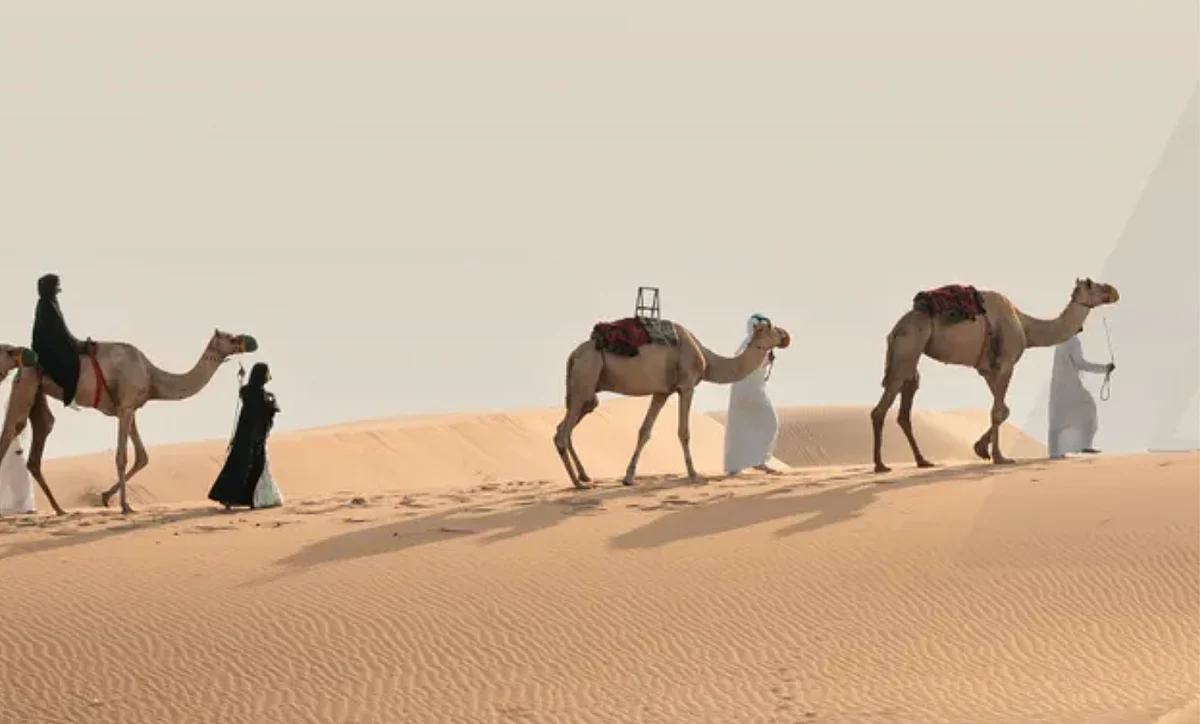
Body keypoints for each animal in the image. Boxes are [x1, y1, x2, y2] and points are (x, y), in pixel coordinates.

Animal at [0, 329, 258, 515]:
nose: (250, 341)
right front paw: (124, 506)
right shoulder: (125, 408)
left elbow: (142, 456)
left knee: (41, 431)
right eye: (231, 337)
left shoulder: (130, 408)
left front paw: (105, 498)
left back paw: (59, 509)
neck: (153, 377)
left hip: (37, 390)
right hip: (27, 383)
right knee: (13, 428)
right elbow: (122, 456)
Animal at [554, 318, 791, 489]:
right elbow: (683, 431)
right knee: (562, 434)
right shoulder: (687, 385)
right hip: (585, 377)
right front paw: (694, 474)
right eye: (771, 327)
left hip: (585, 390)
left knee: (566, 426)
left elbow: (644, 431)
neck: (706, 360)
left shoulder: (662, 391)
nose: (787, 335)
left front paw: (629, 477)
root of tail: (573, 355)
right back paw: (579, 484)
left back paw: (585, 476)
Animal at [871, 278, 1119, 473]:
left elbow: (1003, 410)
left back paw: (922, 461)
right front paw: (1000, 457)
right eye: (1091, 284)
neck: (1025, 326)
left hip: (910, 354)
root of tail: (894, 330)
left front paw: (981, 449)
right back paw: (880, 465)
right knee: (881, 407)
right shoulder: (1006, 363)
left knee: (907, 400)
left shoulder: (988, 369)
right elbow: (998, 412)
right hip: (908, 346)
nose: (1114, 291)